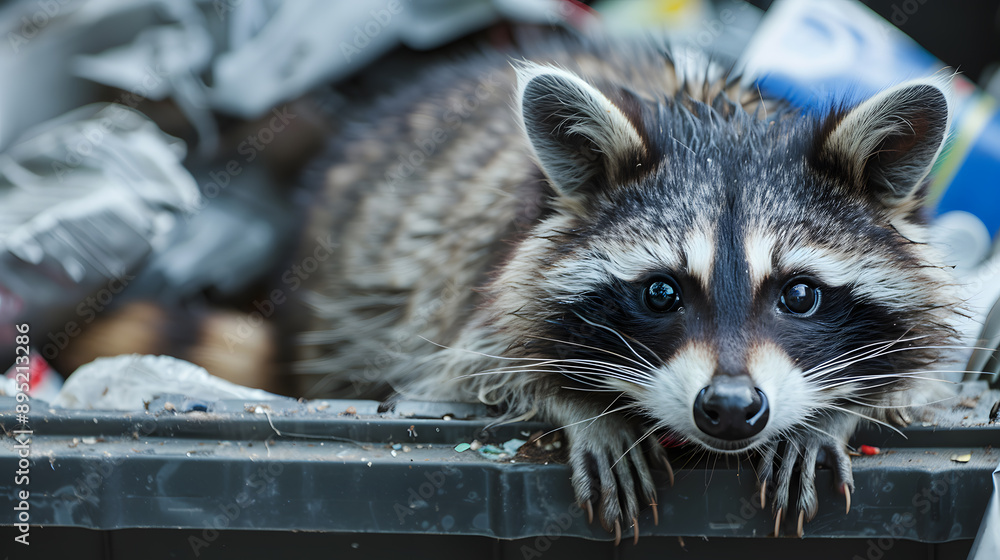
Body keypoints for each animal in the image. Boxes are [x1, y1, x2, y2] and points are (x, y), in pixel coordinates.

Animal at [294, 34, 958, 541]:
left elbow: (920, 377)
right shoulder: (482, 278)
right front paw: (582, 407)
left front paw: (833, 416)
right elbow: (481, 363)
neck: (712, 113)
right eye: (661, 293)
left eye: (799, 295)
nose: (730, 408)